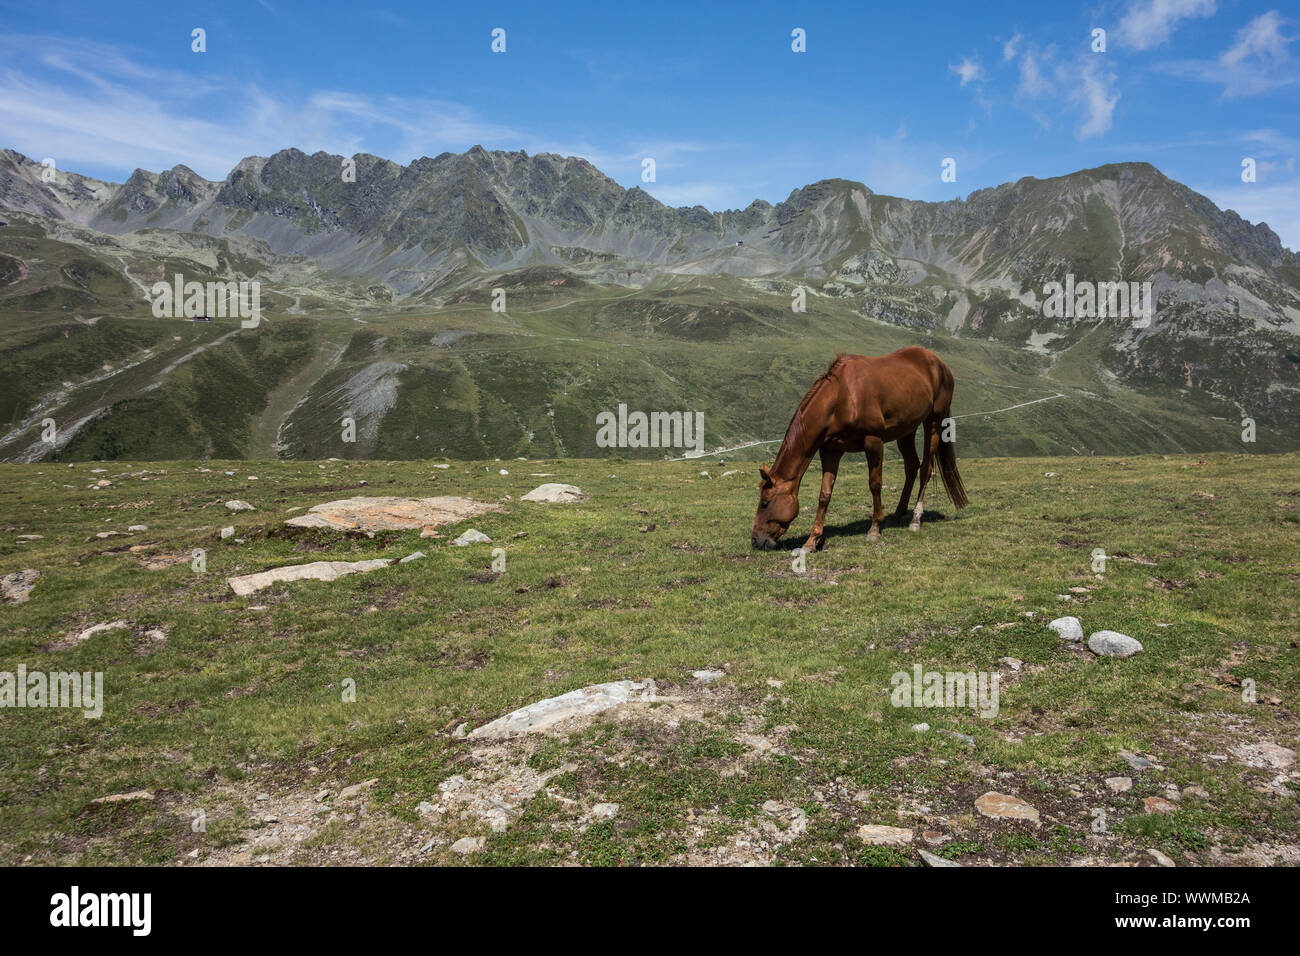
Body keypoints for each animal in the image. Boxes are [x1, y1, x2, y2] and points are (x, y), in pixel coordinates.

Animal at [750, 346, 968, 550]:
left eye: (765, 503)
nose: (755, 541)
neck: (842, 397)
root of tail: (939, 363)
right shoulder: (830, 450)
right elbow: (824, 494)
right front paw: (812, 540)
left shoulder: (873, 441)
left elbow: (875, 483)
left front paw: (875, 529)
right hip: (907, 429)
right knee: (911, 466)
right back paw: (899, 512)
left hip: (933, 422)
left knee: (925, 469)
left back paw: (915, 519)